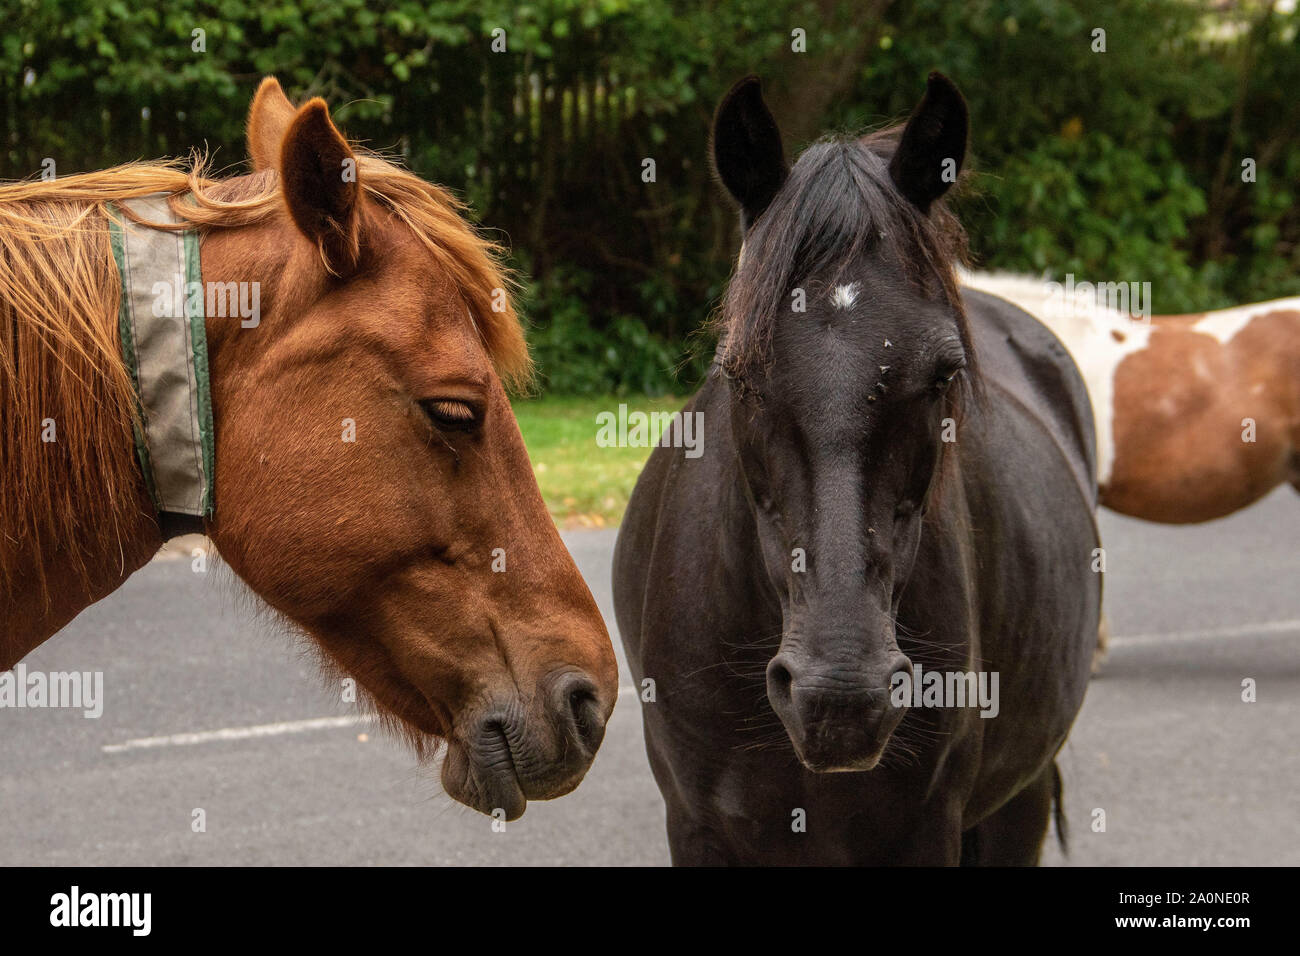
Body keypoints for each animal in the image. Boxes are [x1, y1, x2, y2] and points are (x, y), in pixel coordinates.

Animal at [612, 74, 1101, 864]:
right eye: (738, 373)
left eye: (944, 373)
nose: (840, 696)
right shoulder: (696, 828)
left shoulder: (928, 828)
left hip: (1018, 802)